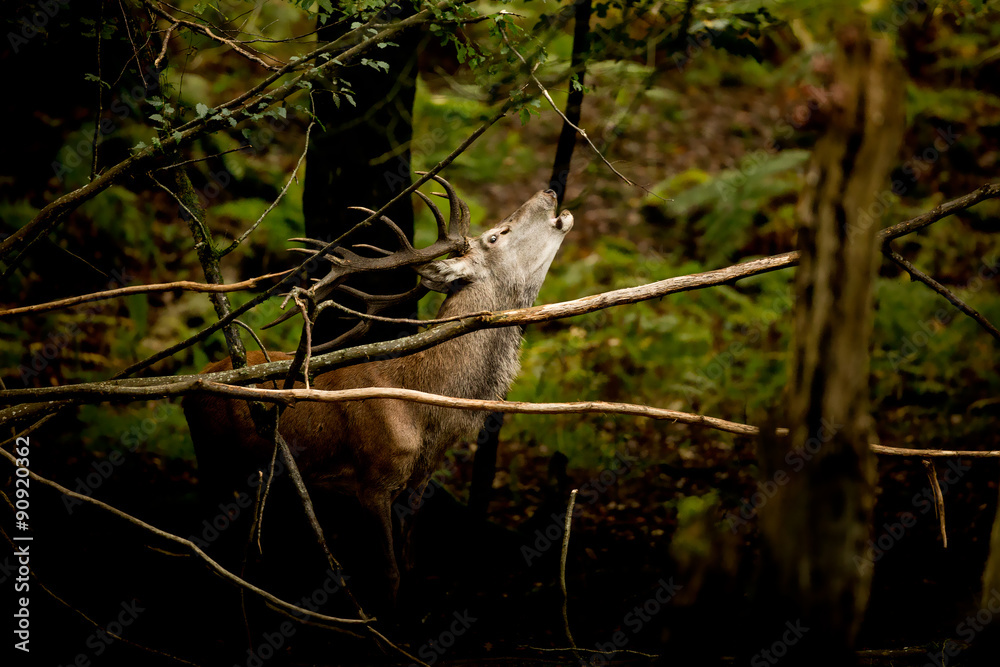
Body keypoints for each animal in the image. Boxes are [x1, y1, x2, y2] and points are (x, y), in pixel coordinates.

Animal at [182, 176, 573, 603]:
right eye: (495, 235)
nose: (550, 192)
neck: (428, 414)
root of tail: (193, 386)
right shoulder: (372, 481)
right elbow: (389, 574)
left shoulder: (419, 481)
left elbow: (411, 563)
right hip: (213, 453)